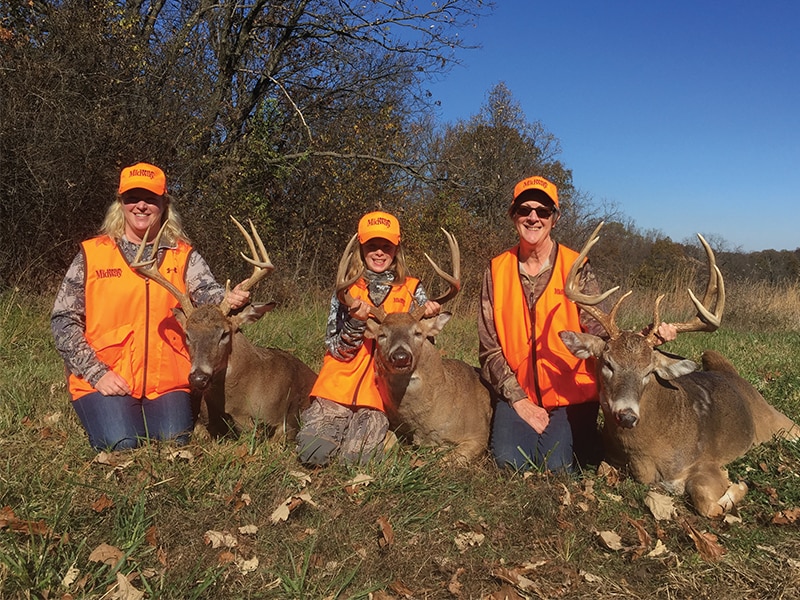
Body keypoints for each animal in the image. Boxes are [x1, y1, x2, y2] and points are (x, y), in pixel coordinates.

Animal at [558, 222, 799, 517]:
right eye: (608, 363)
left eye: (648, 371)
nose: (627, 416)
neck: (643, 456)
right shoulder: (610, 460)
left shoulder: (705, 462)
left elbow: (707, 503)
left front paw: (739, 485)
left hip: (777, 423)